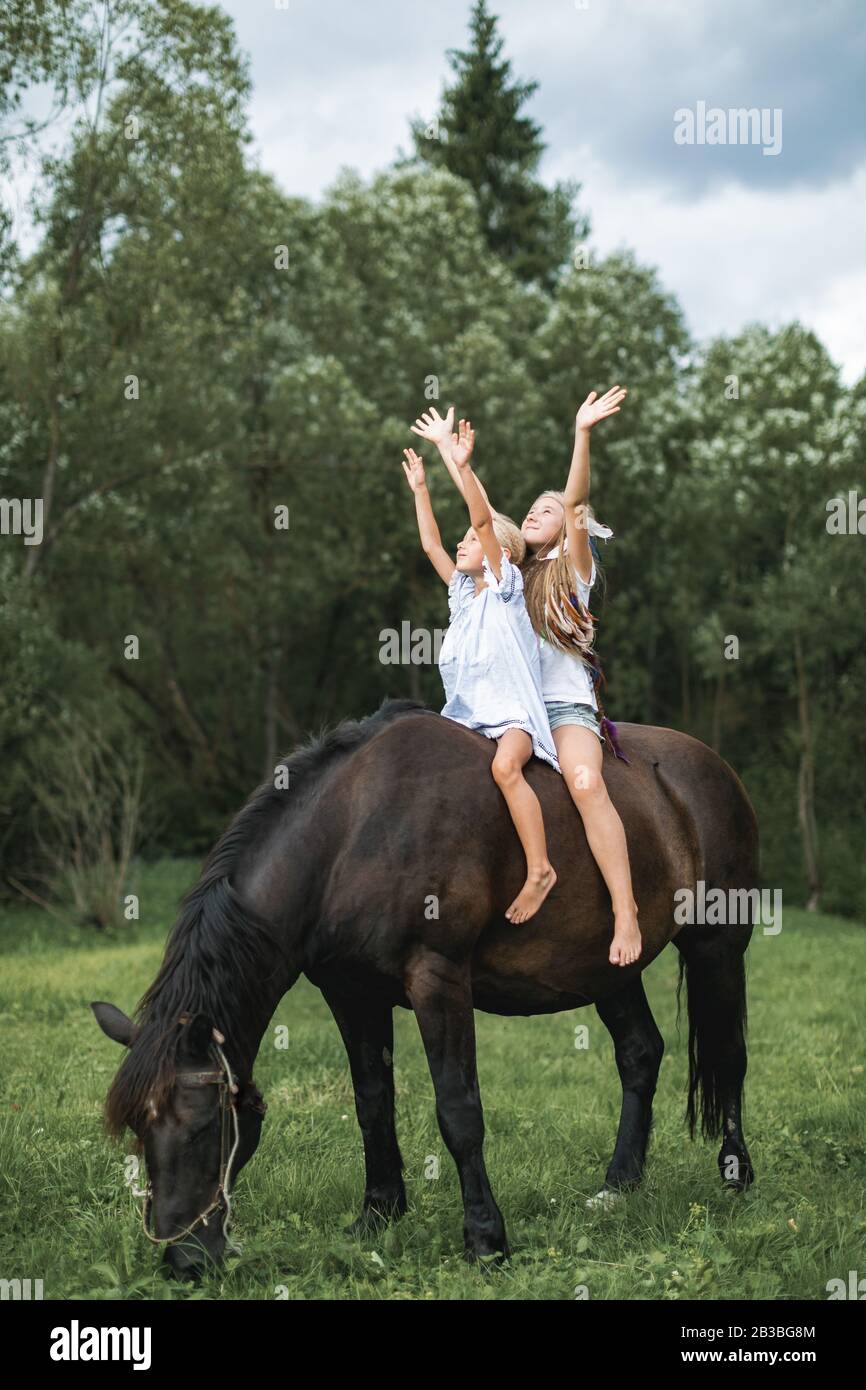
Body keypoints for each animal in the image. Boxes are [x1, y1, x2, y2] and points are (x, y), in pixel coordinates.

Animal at [92, 698, 757, 1279]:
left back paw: (736, 1175)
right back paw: (619, 1185)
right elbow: (372, 1102)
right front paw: (378, 1213)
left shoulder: (439, 981)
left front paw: (487, 1240)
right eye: (140, 1132)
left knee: (729, 1057)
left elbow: (458, 1111)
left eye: (205, 1127)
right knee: (640, 1054)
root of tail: (710, 766)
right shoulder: (350, 992)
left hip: (718, 949)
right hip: (611, 964)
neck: (352, 835)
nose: (182, 1261)